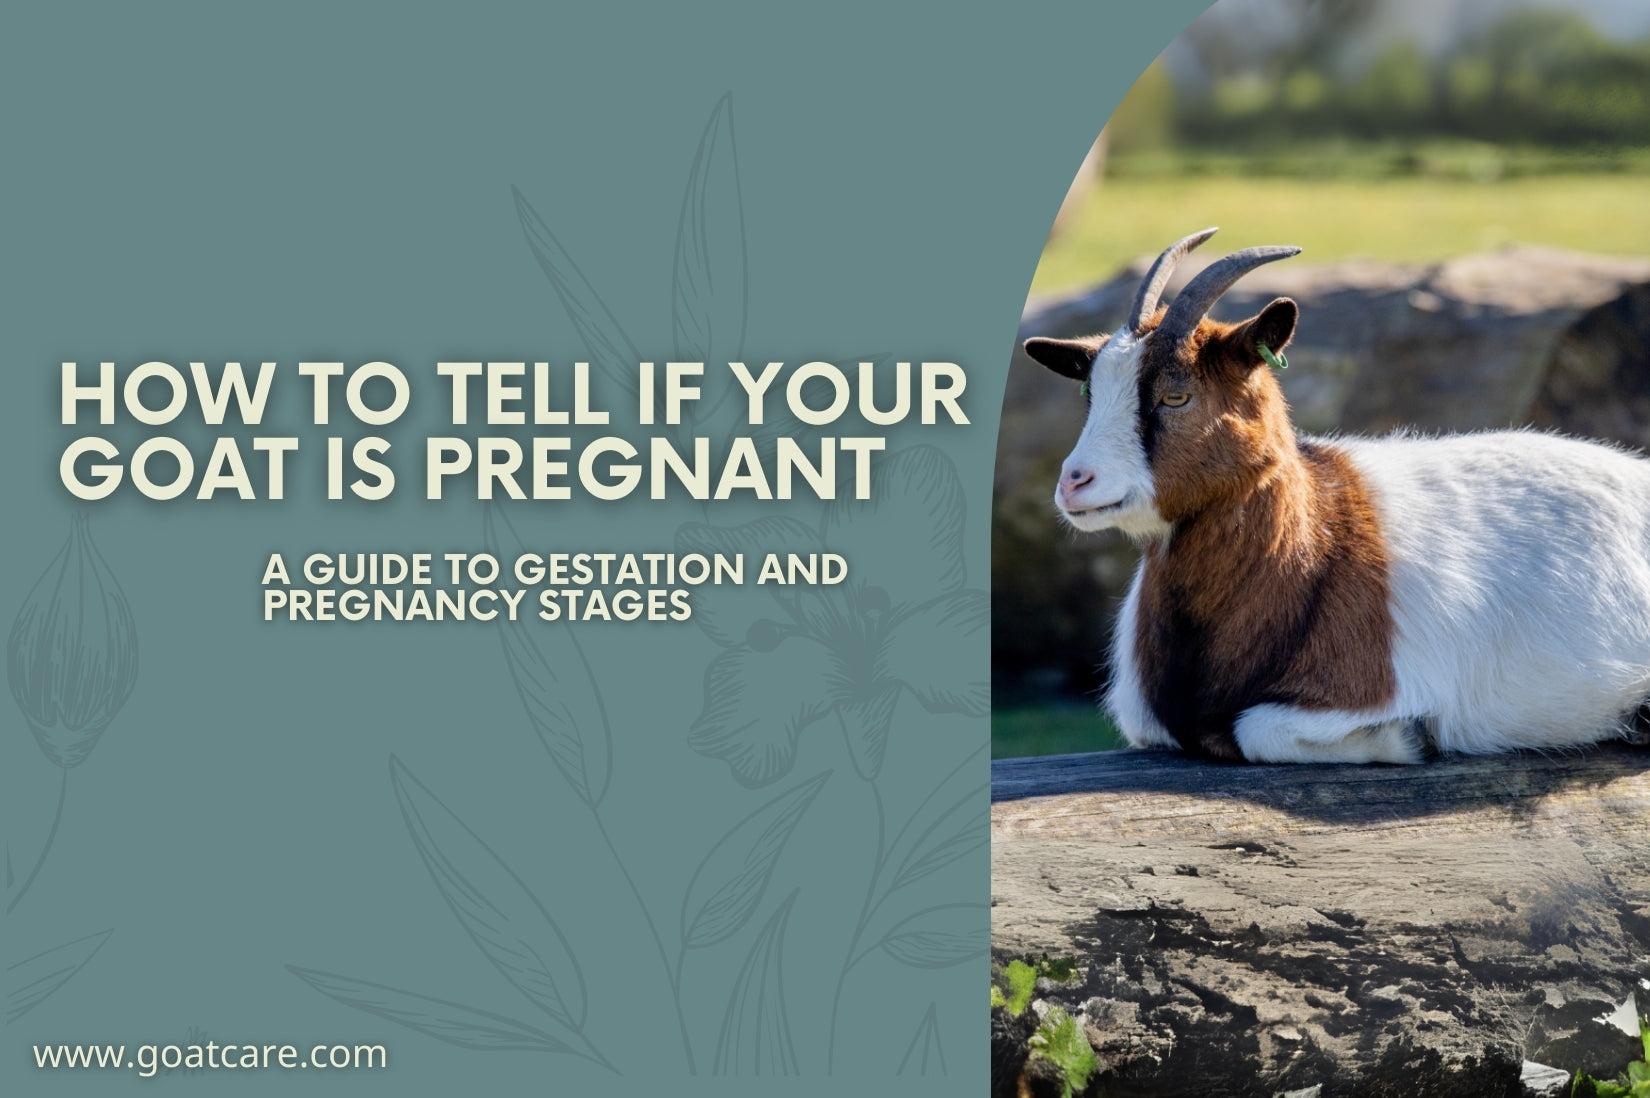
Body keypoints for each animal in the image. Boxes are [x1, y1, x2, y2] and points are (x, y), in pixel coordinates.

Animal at [1024, 228, 1650, 764]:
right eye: (1089, 393)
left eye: (1176, 395)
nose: (1075, 481)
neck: (1311, 544)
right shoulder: (1146, 721)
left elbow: (1257, 729)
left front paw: (1409, 738)